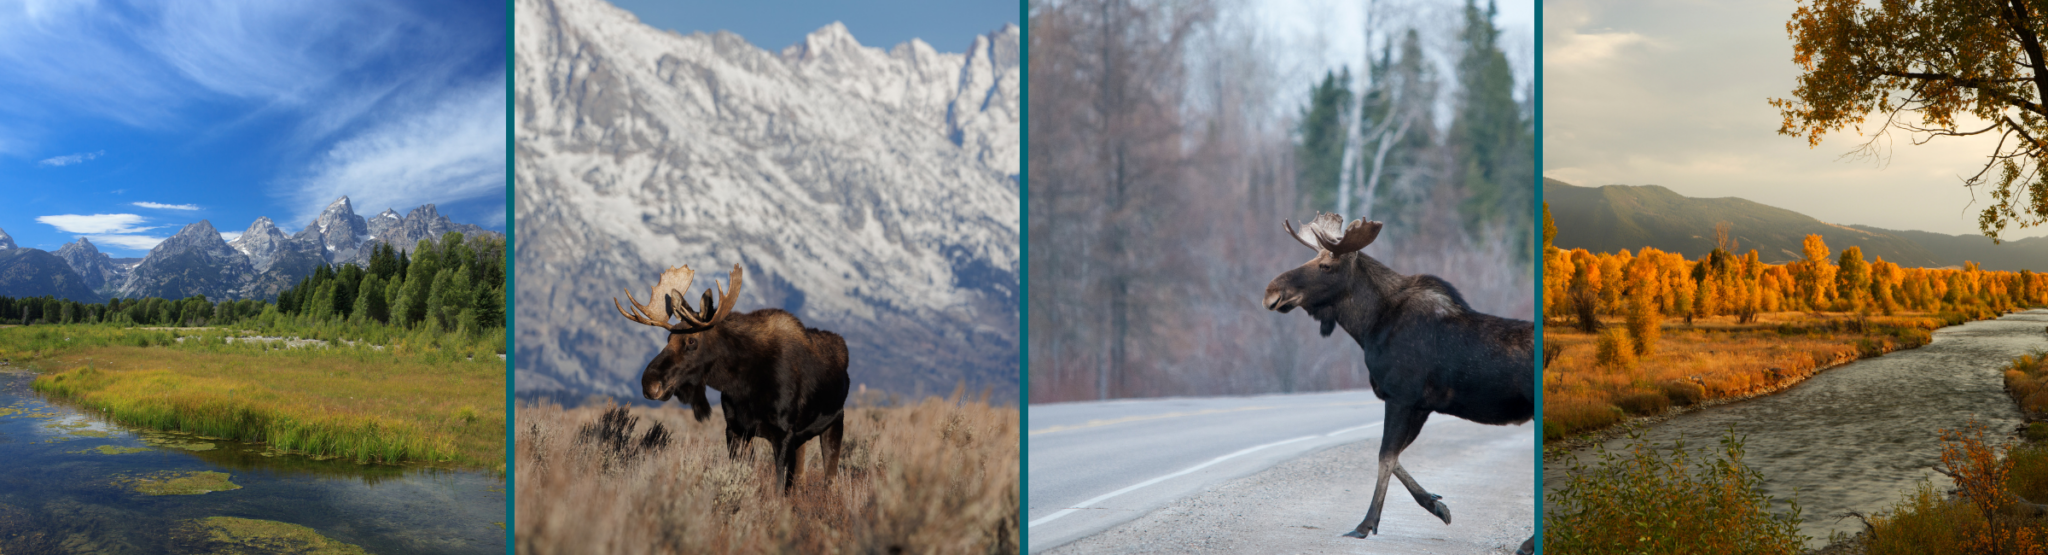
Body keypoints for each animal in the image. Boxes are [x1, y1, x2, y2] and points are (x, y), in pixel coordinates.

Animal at [614, 263, 851, 490]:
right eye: (668, 338)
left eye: (691, 340)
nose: (649, 383)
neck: (742, 384)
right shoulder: (736, 429)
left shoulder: (783, 433)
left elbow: (779, 490)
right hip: (802, 436)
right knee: (801, 478)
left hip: (834, 421)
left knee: (830, 480)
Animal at [1262, 214, 1536, 555]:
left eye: (1325, 266)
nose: (1271, 292)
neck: (1367, 327)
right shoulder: (1420, 406)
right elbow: (1395, 457)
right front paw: (1436, 504)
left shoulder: (1400, 396)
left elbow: (1385, 456)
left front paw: (1365, 524)